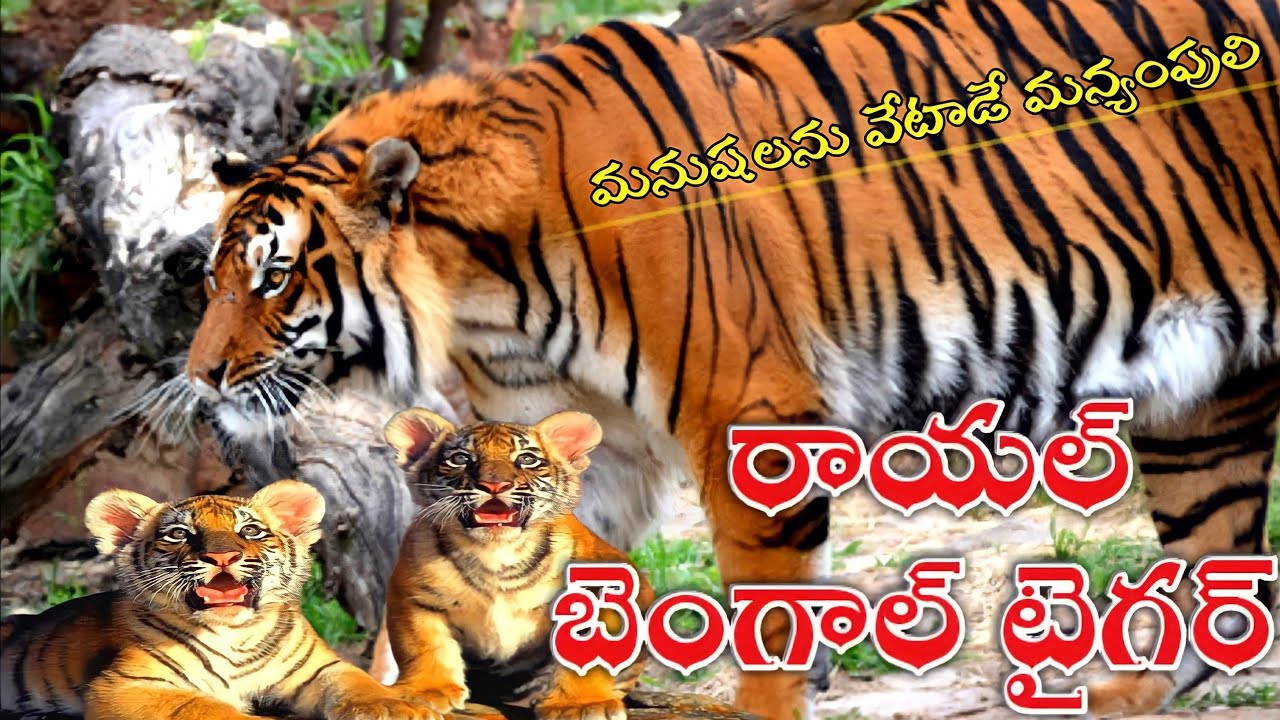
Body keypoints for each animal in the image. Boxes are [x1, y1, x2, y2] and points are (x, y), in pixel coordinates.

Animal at [0, 481, 431, 720]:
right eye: (179, 534)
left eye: (251, 530)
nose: (222, 556)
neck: (235, 636)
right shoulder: (129, 685)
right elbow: (204, 707)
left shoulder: (320, 669)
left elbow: (361, 683)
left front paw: (402, 708)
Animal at [373, 408, 655, 720]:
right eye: (460, 458)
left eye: (527, 459)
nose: (494, 485)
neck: (496, 555)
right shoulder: (414, 596)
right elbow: (422, 645)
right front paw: (425, 690)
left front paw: (581, 704)